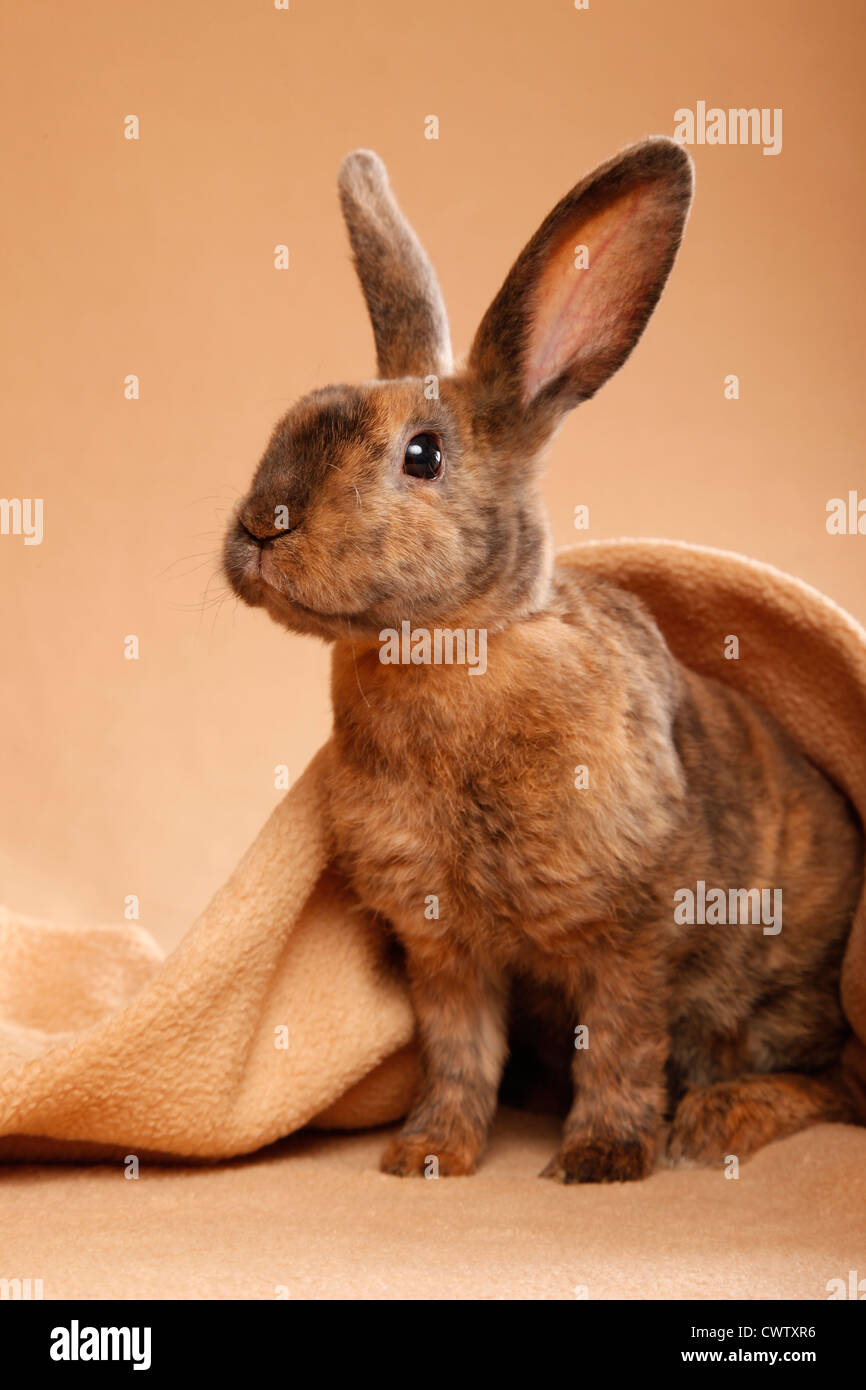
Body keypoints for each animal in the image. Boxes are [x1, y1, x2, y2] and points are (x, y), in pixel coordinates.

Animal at [223, 139, 864, 1182]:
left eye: (423, 455)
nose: (258, 524)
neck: (456, 646)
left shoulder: (634, 933)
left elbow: (620, 1044)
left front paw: (601, 1158)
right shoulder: (441, 947)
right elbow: (458, 1053)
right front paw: (427, 1155)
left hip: (775, 998)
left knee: (833, 1081)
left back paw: (720, 1121)